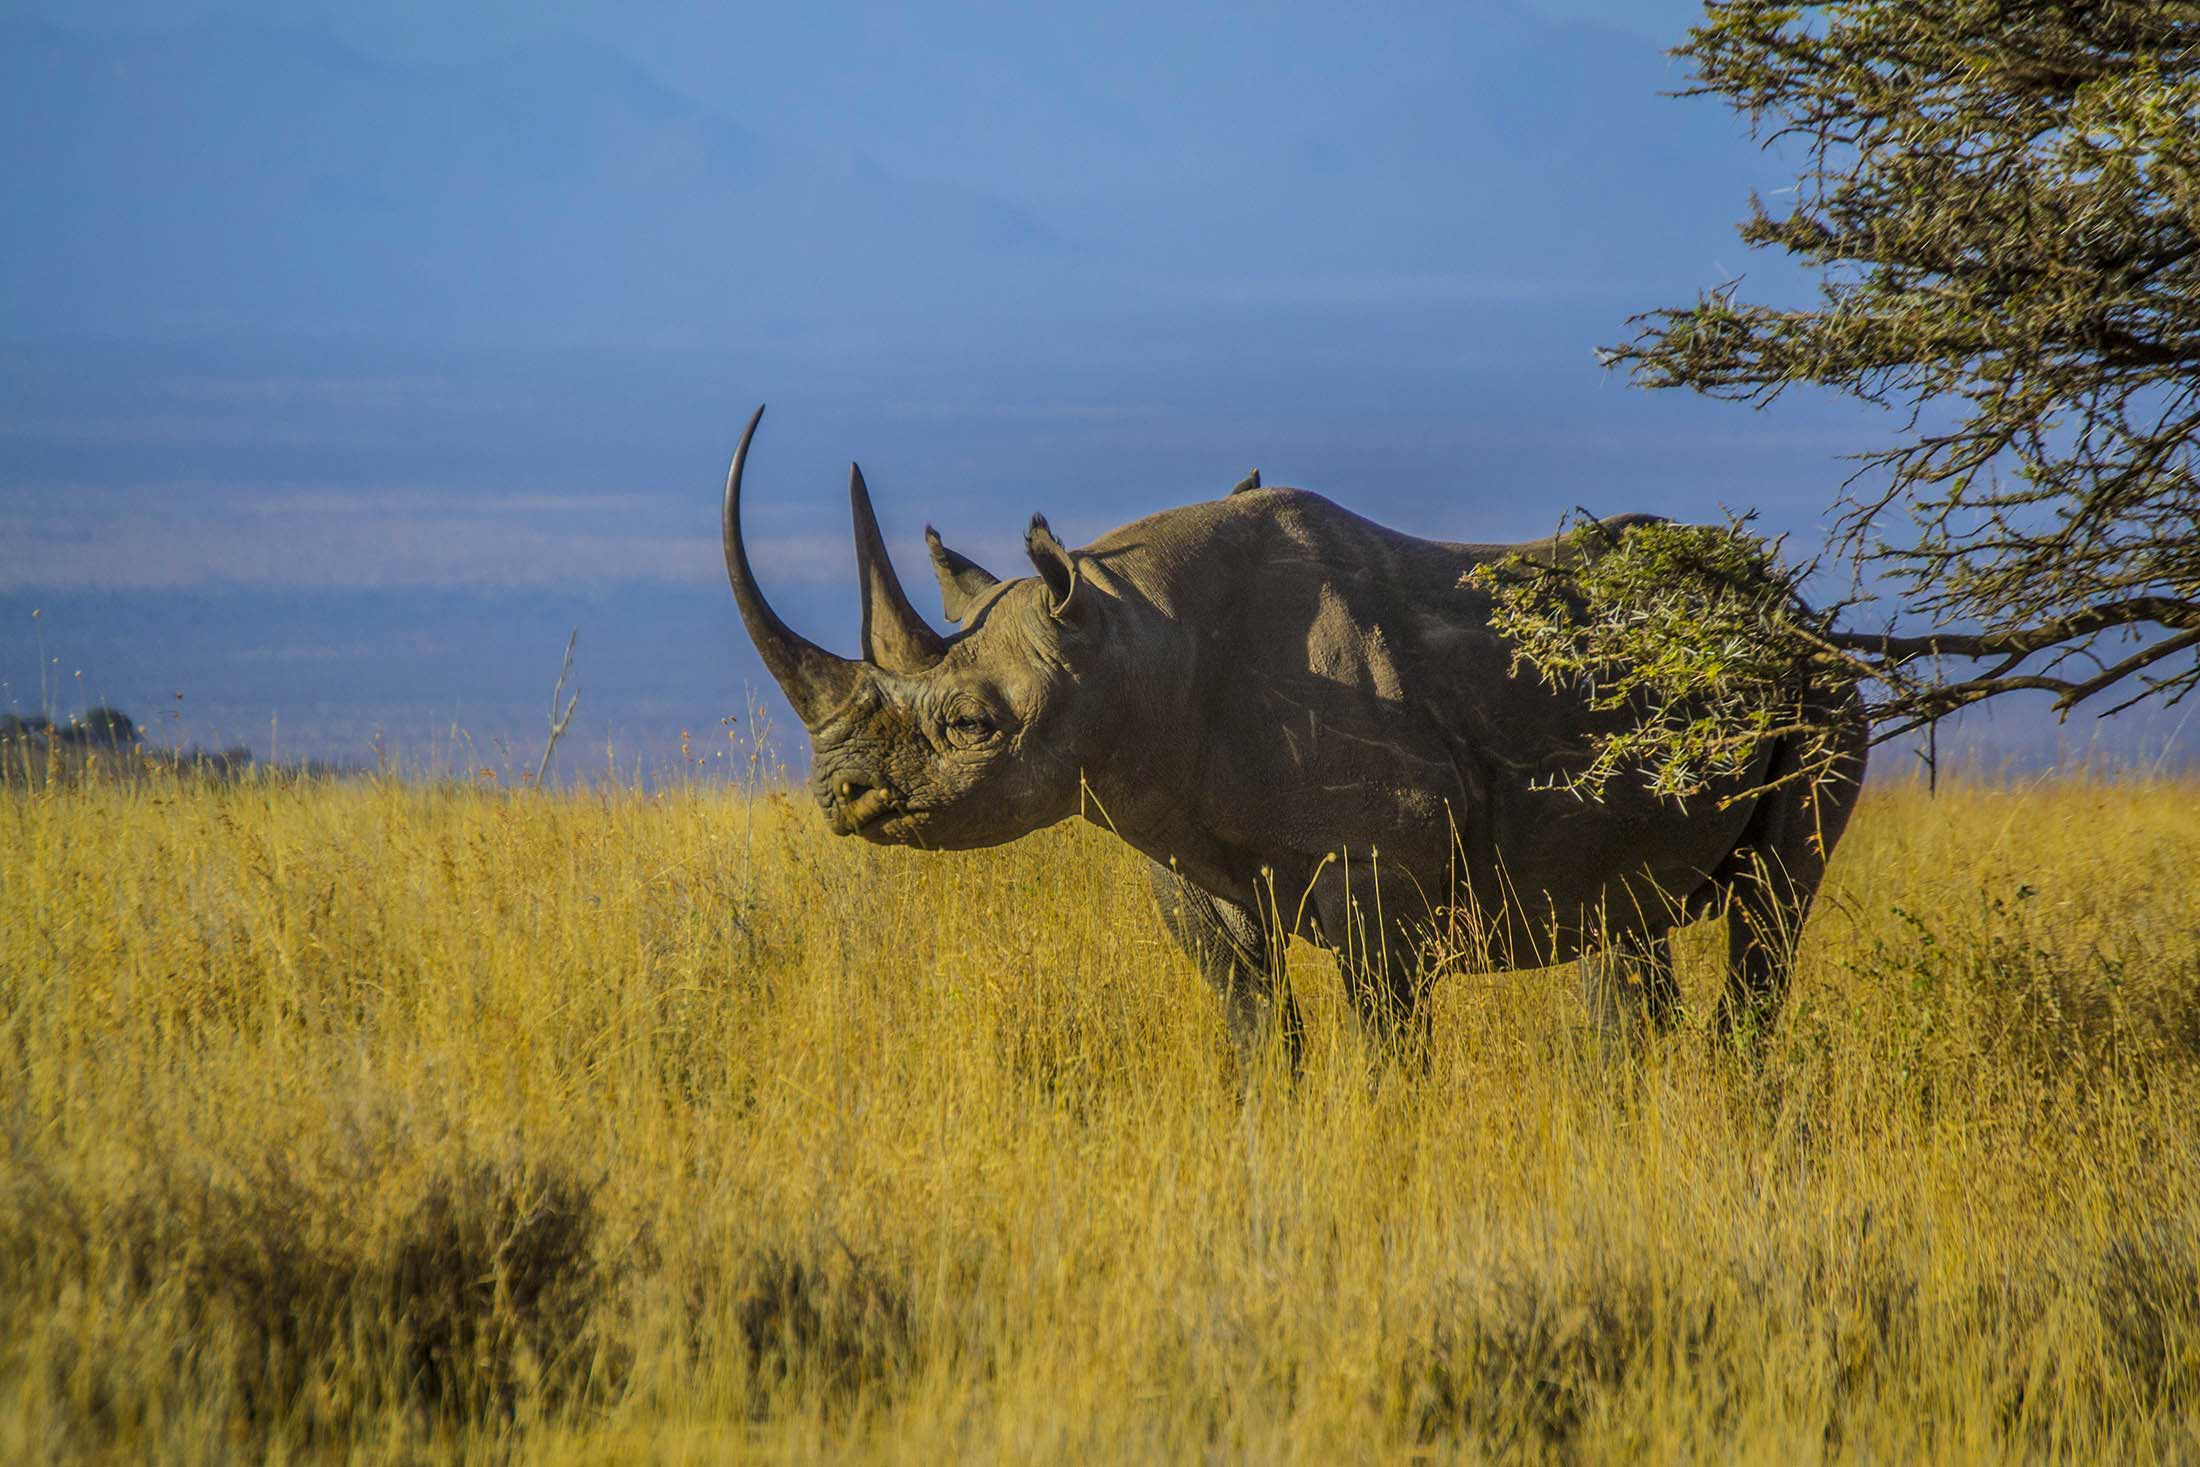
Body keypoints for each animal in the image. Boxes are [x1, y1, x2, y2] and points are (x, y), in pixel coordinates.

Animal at [719, 405, 1867, 1063]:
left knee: (1770, 909)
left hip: (1821, 692)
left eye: (971, 723)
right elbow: (1256, 1032)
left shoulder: (1378, 879)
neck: (1132, 647)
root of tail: (1792, 606)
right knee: (1624, 922)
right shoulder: (1188, 864)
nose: (843, 796)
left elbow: (1387, 1042)